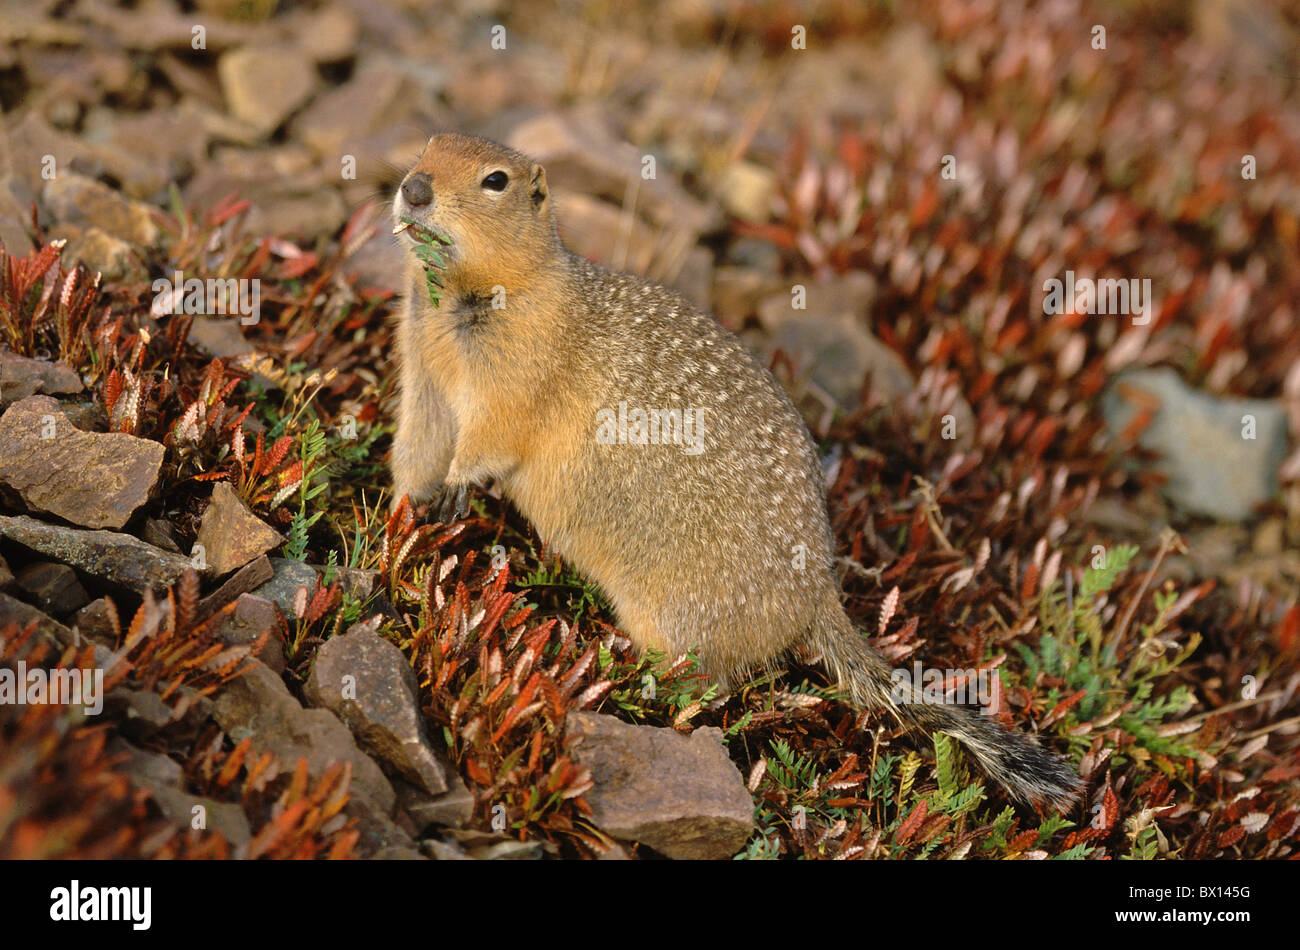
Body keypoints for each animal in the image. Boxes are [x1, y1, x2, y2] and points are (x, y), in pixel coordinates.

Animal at [389, 132, 1082, 810]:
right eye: (426, 145)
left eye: (495, 180)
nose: (413, 188)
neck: (470, 291)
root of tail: (818, 597)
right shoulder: (424, 368)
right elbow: (417, 438)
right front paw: (400, 513)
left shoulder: (518, 375)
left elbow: (489, 436)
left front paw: (454, 487)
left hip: (675, 615)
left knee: (712, 685)